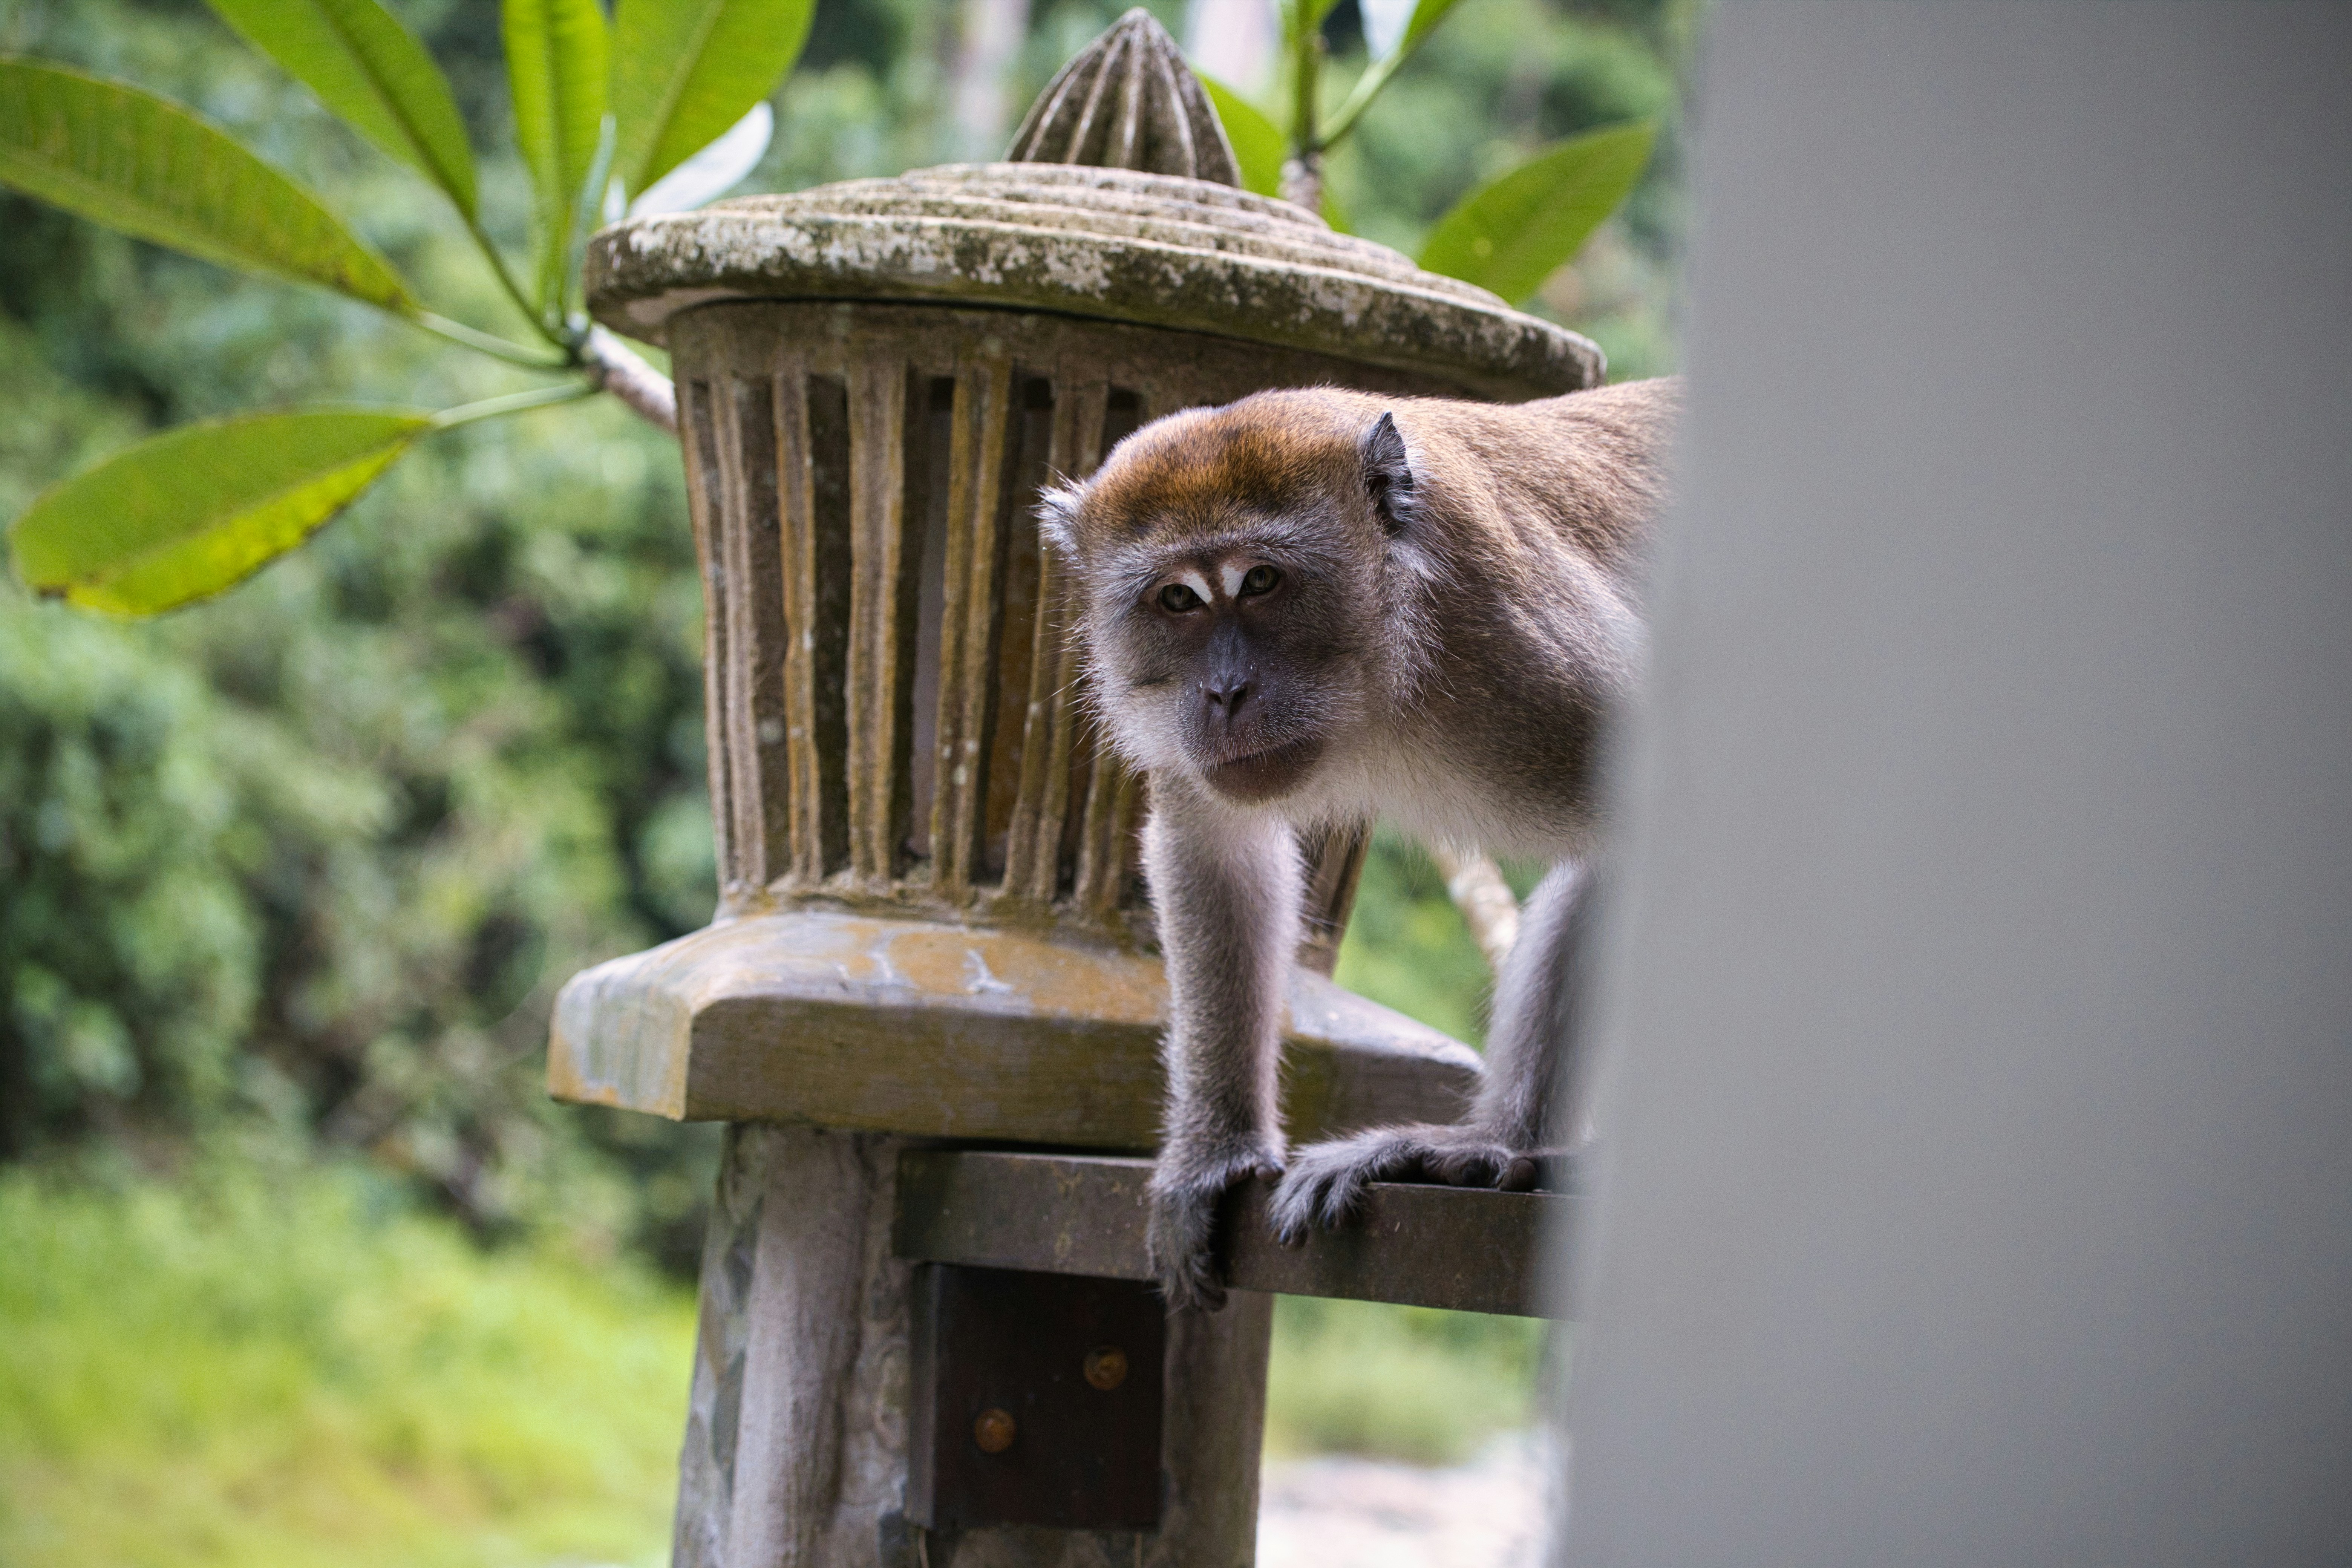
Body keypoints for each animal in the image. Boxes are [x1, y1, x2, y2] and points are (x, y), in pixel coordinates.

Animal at [1037, 376, 1680, 1310]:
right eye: (1179, 600)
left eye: (1262, 581)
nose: (1225, 692)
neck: (1386, 668)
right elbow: (1218, 847)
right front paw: (1214, 1152)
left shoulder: (1526, 650)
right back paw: (1501, 1145)